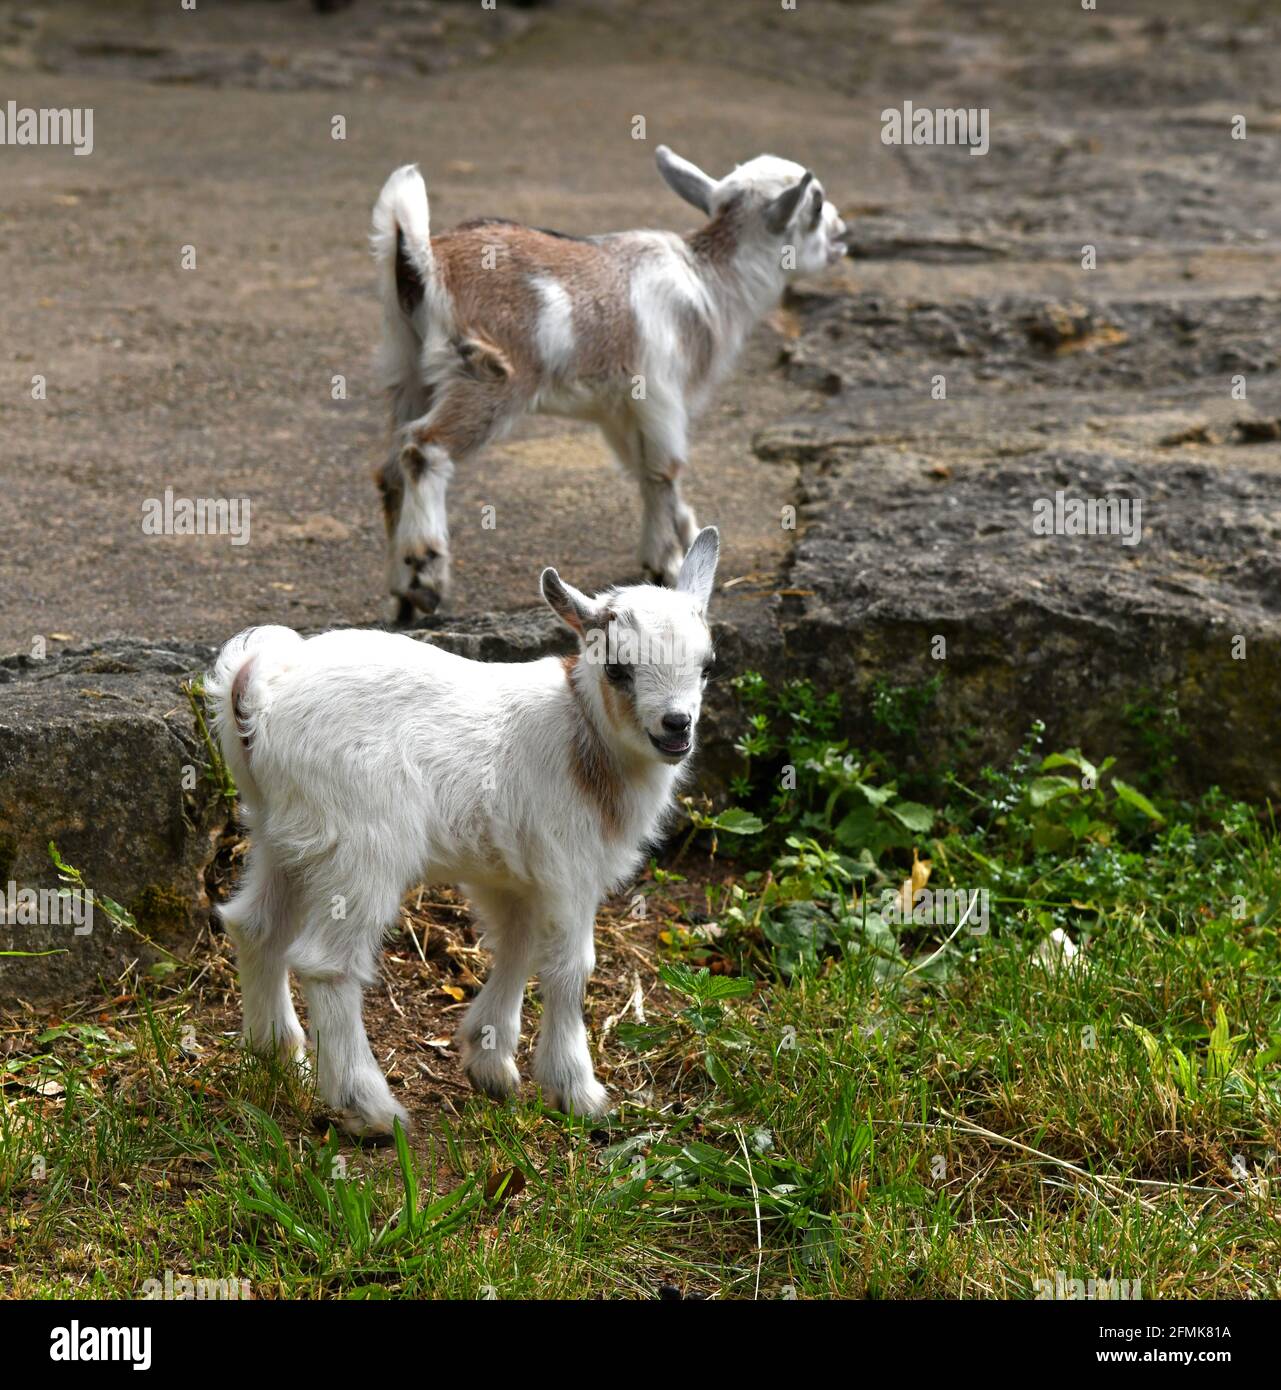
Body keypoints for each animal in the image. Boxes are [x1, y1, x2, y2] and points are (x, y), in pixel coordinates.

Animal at [207, 527, 721, 1134]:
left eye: (707, 665)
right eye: (618, 668)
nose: (677, 726)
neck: (585, 736)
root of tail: (262, 689)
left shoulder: (513, 874)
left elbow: (517, 945)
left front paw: (490, 1064)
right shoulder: (569, 864)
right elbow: (571, 967)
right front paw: (578, 1093)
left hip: (280, 831)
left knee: (255, 925)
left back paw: (277, 1055)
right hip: (361, 845)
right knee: (326, 962)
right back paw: (369, 1109)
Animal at [371, 147, 846, 623]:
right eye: (817, 204)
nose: (843, 234)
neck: (709, 282)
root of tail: (423, 261)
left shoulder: (618, 408)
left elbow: (640, 467)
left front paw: (687, 531)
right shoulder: (660, 391)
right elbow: (663, 468)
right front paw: (665, 562)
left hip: (409, 370)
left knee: (390, 469)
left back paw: (401, 592)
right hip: (491, 377)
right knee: (424, 447)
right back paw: (425, 578)